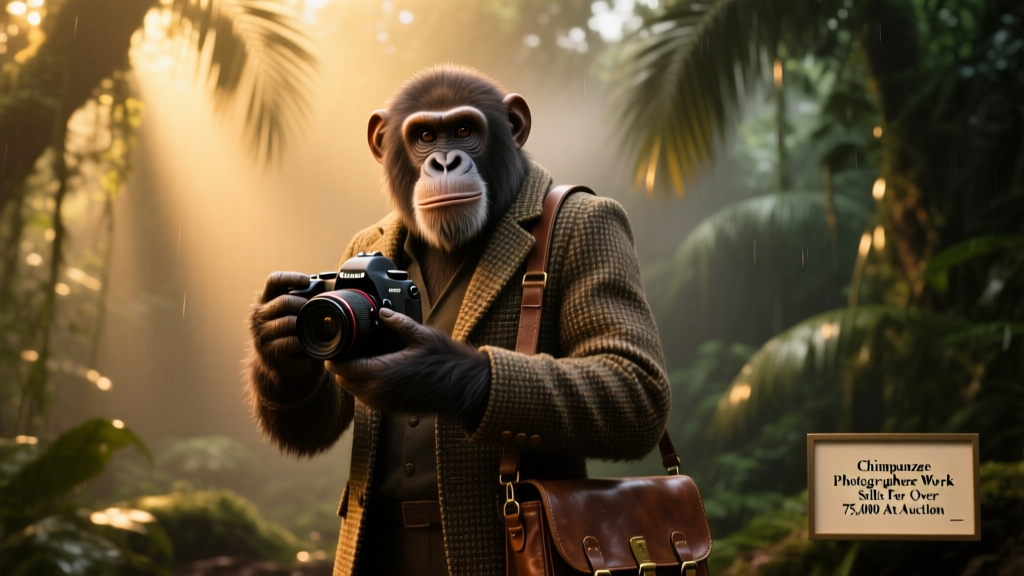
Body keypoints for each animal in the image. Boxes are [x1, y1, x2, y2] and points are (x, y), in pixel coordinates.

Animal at [244, 64, 670, 576]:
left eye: (465, 130)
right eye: (426, 136)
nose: (444, 162)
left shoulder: (601, 228)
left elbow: (629, 375)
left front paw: (423, 370)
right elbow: (316, 425)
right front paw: (279, 334)